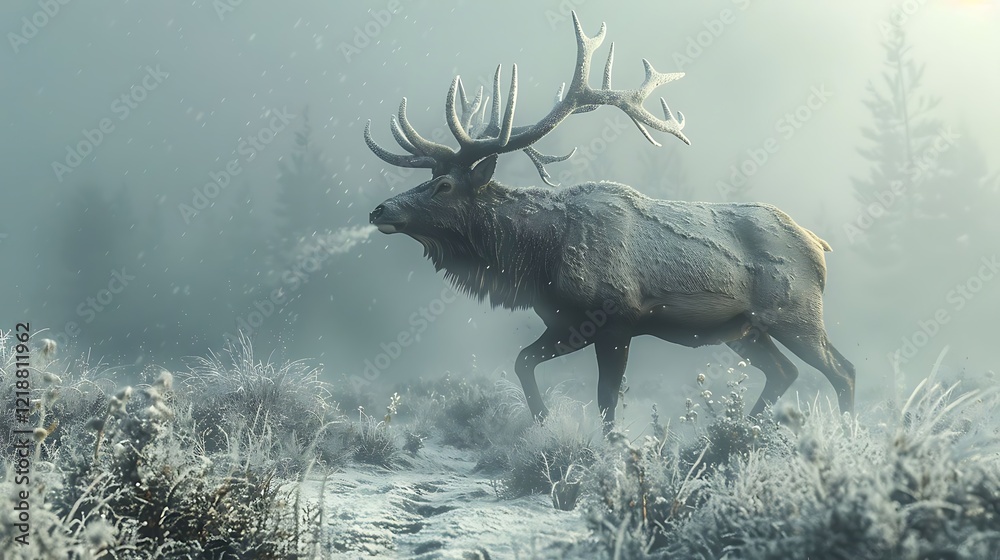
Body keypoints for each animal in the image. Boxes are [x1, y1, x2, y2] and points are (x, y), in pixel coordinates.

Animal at [365, 12, 855, 432]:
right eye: (429, 177)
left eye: (445, 186)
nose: (379, 210)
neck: (539, 259)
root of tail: (819, 244)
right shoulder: (564, 321)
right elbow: (523, 361)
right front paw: (543, 421)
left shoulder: (617, 318)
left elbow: (606, 400)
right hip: (744, 331)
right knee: (784, 372)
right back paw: (740, 433)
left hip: (797, 314)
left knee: (843, 370)